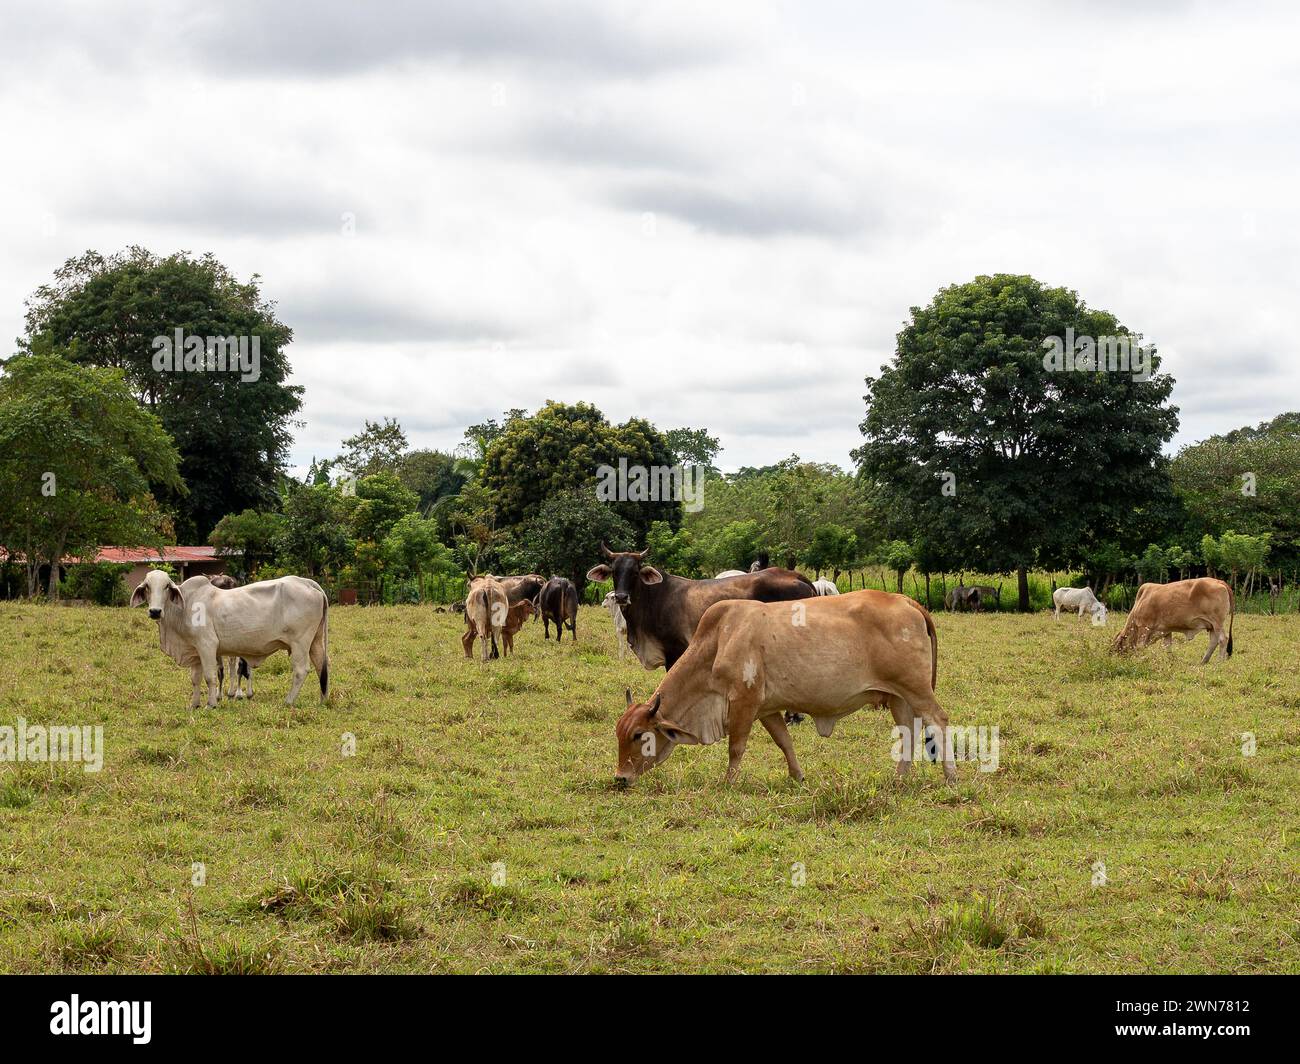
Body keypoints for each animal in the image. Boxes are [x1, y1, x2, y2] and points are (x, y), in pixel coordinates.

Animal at [131, 569, 329, 708]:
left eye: (166, 586)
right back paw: (323, 700)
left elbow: (210, 676)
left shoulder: (207, 645)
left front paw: (211, 704)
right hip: (315, 641)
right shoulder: (194, 651)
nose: (155, 611)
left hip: (300, 643)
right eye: (147, 586)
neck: (185, 606)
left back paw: (288, 701)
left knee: (301, 670)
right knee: (322, 666)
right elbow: (195, 679)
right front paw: (194, 704)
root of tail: (307, 582)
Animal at [586, 544, 816, 672]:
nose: (621, 597)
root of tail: (797, 576)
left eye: (634, 572)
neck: (653, 598)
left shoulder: (675, 650)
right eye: (614, 572)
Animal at [613, 590, 953, 788]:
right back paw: (899, 780)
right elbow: (784, 742)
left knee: (939, 721)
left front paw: (729, 783)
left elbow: (736, 748)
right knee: (908, 732)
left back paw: (951, 777)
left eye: (639, 735)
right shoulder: (767, 709)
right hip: (899, 697)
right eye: (619, 733)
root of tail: (908, 601)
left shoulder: (743, 702)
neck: (719, 640)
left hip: (916, 689)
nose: (620, 778)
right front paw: (798, 776)